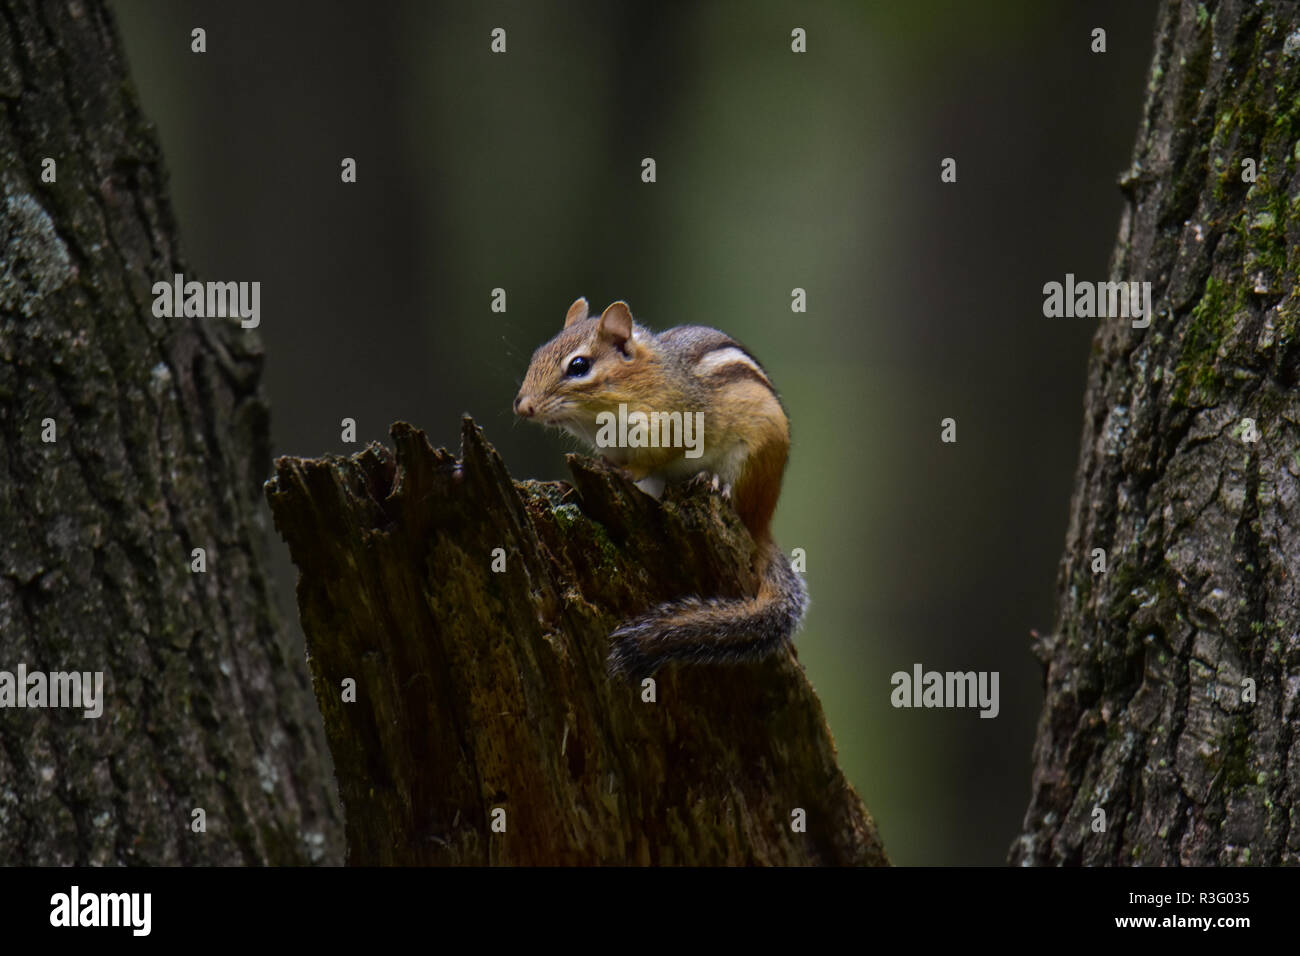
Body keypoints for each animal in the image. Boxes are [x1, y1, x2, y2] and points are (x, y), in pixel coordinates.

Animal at [514, 297, 808, 681]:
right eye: (537, 354)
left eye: (579, 366)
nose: (523, 406)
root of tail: (763, 526)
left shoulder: (675, 427)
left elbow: (652, 459)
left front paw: (624, 471)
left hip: (749, 462)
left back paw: (713, 482)